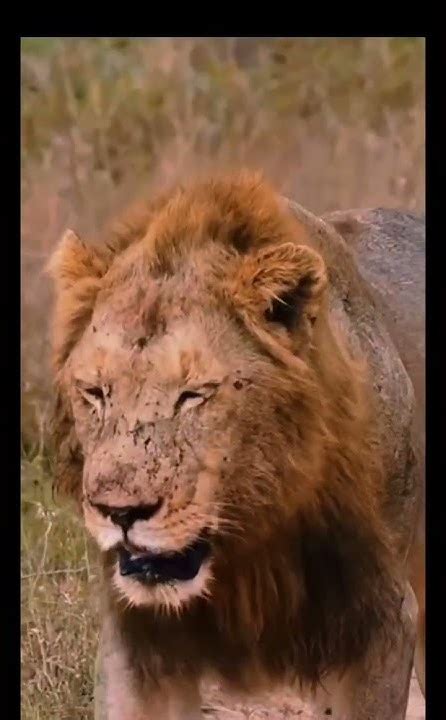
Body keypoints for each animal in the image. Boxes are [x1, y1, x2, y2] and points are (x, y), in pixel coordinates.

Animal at [48, 171, 424, 720]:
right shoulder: (138, 640)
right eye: (97, 392)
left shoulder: (382, 623)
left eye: (194, 395)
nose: (119, 513)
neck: (247, 553)